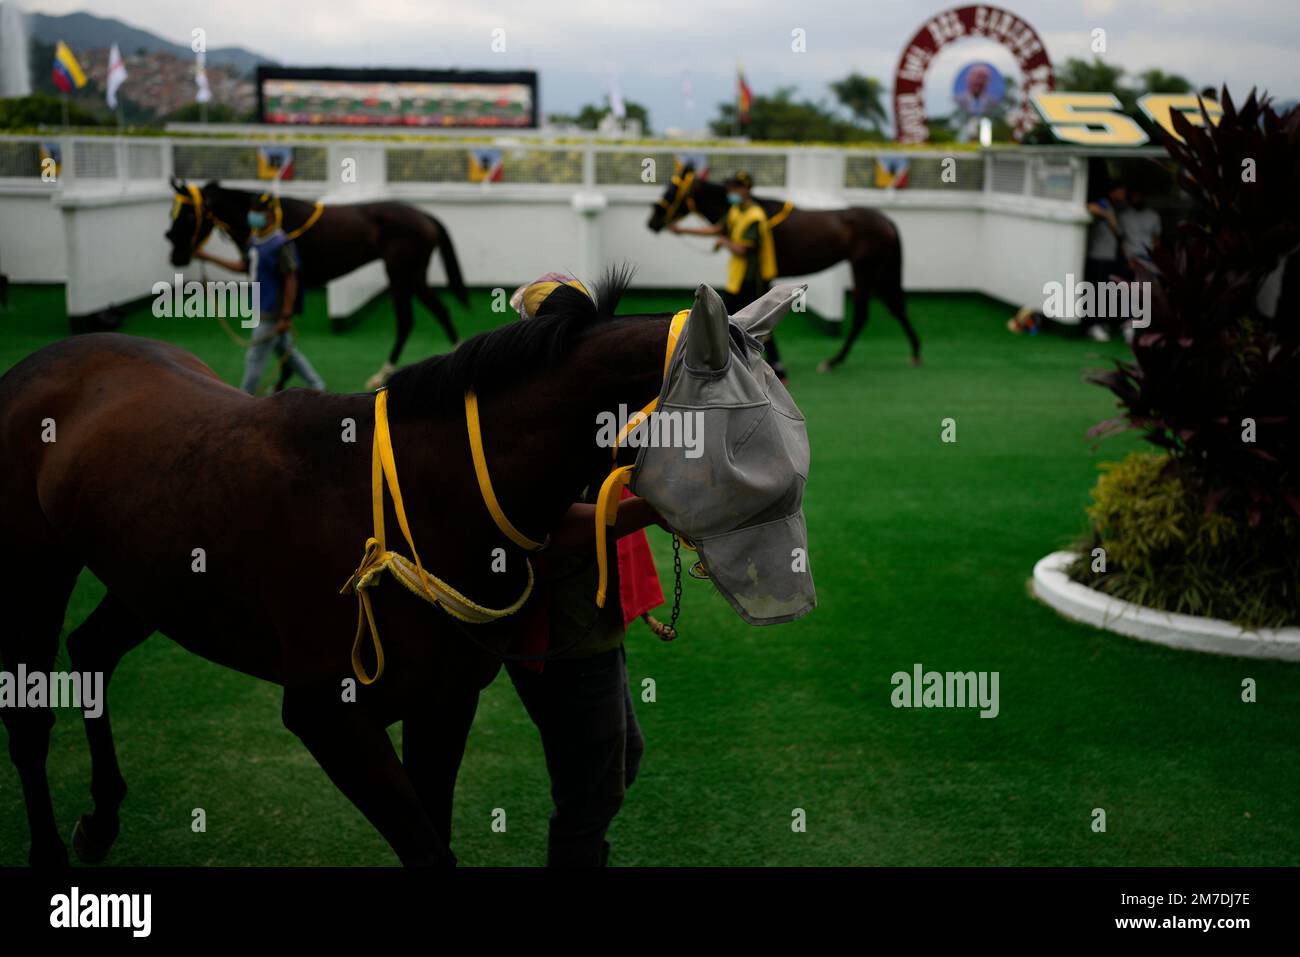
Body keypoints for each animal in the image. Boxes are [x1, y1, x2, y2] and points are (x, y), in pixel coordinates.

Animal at [0, 270, 812, 866]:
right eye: (752, 453)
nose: (796, 596)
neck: (419, 502)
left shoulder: (443, 698)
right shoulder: (328, 714)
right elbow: (428, 851)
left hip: (149, 575)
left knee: (91, 649)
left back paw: (101, 819)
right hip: (36, 564)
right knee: (29, 710)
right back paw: (48, 849)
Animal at [165, 179, 469, 390]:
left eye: (189, 215)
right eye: (172, 212)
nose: (176, 256)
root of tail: (426, 217)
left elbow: (282, 331)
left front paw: (281, 379)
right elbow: (279, 334)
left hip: (402, 273)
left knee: (409, 319)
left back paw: (386, 372)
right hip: (412, 275)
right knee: (436, 311)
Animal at [647, 162, 922, 371]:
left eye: (671, 191)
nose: (653, 222)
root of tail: (886, 221)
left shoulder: (761, 274)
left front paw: (776, 364)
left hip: (866, 269)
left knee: (866, 313)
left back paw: (834, 361)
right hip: (875, 271)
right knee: (895, 307)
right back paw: (914, 352)